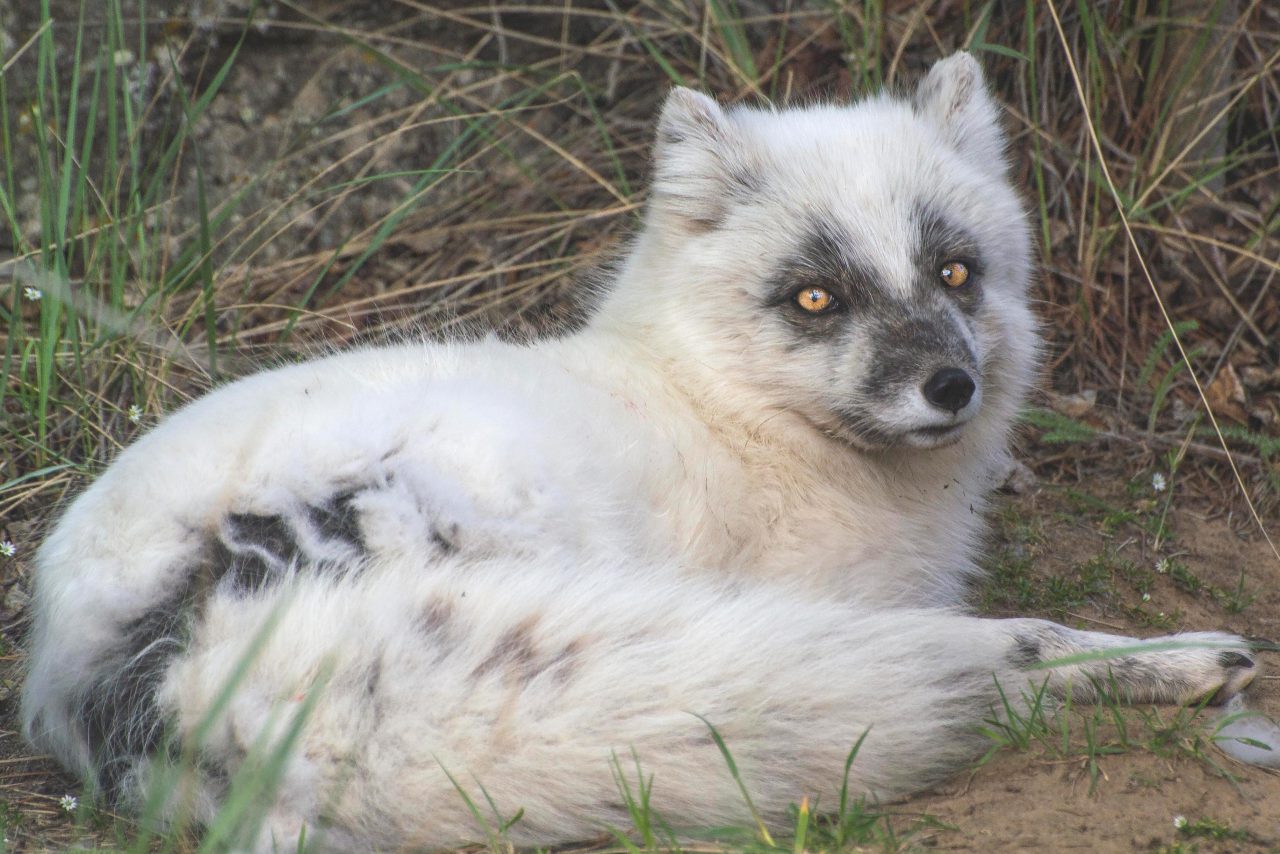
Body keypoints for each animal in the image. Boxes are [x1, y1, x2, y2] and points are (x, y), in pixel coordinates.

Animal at [21, 53, 1258, 851]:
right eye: (815, 296)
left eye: (955, 272)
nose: (947, 386)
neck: (717, 401)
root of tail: (109, 665)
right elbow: (1023, 632)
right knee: (997, 645)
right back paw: (1181, 658)